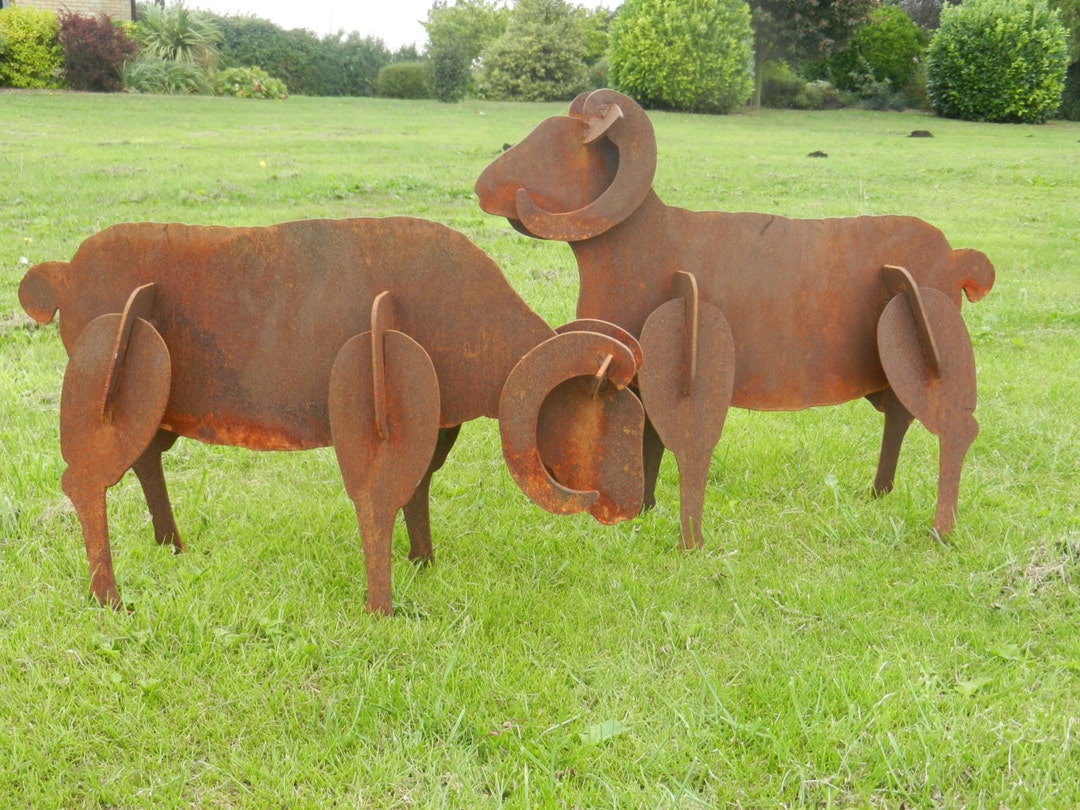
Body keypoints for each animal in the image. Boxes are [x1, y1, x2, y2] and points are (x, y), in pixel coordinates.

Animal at [19, 216, 645, 614]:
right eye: (611, 418)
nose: (632, 508)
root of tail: (65, 274)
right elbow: (378, 502)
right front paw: (382, 612)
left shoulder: (432, 423)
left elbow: (415, 495)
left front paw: (423, 564)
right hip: (113, 397)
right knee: (83, 483)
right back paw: (110, 600)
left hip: (154, 414)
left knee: (145, 468)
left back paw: (170, 548)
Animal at [475, 89, 995, 546]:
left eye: (557, 146)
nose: (481, 189)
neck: (643, 241)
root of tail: (955, 257)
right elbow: (649, 443)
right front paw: (645, 513)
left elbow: (685, 447)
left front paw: (689, 542)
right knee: (901, 423)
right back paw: (878, 495)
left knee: (957, 431)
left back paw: (939, 533)